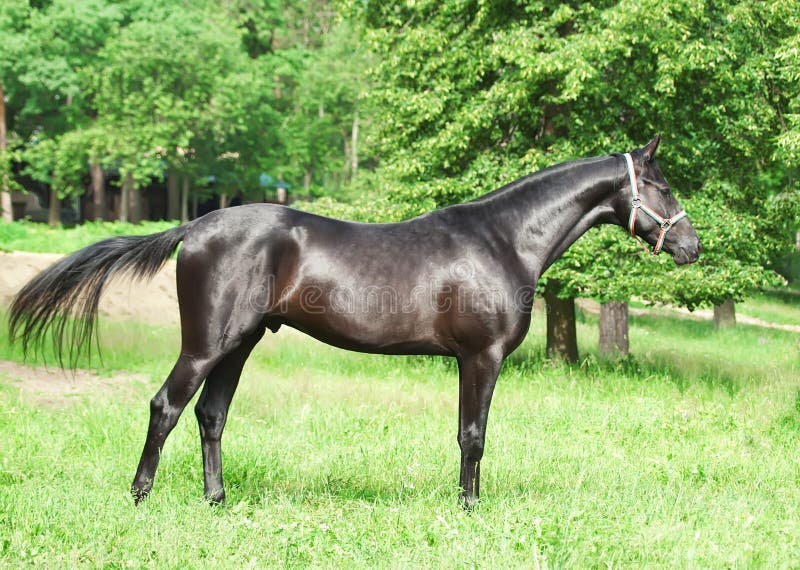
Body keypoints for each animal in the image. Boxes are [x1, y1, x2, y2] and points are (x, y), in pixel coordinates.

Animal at [8, 136, 700, 507]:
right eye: (662, 187)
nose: (692, 246)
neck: (502, 239)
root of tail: (196, 225)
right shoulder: (480, 357)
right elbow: (473, 435)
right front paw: (470, 507)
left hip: (241, 343)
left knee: (210, 415)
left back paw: (217, 500)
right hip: (207, 343)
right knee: (166, 406)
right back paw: (141, 496)